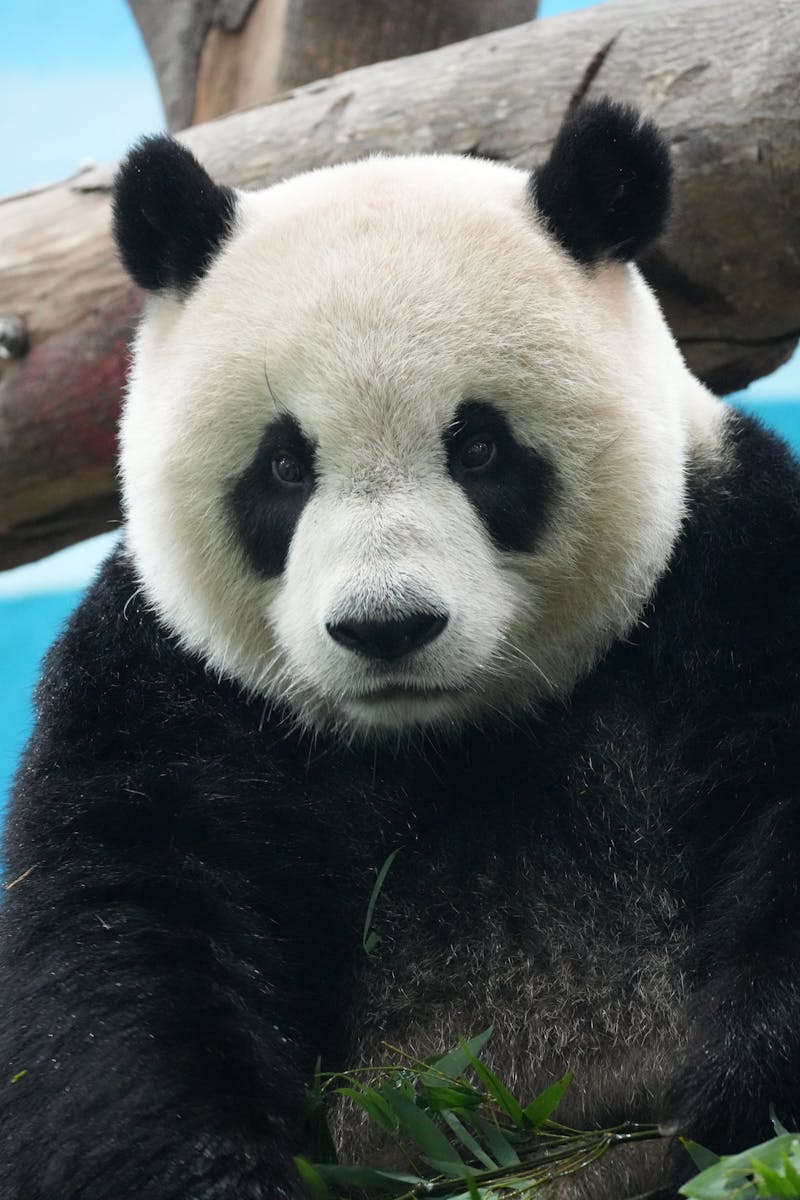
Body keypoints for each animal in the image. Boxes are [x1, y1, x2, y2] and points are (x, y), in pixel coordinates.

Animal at [1, 98, 799, 1200]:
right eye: (284, 466)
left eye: (478, 447)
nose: (386, 626)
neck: (443, 736)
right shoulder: (164, 682)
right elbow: (125, 944)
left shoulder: (731, 580)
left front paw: (741, 1143)